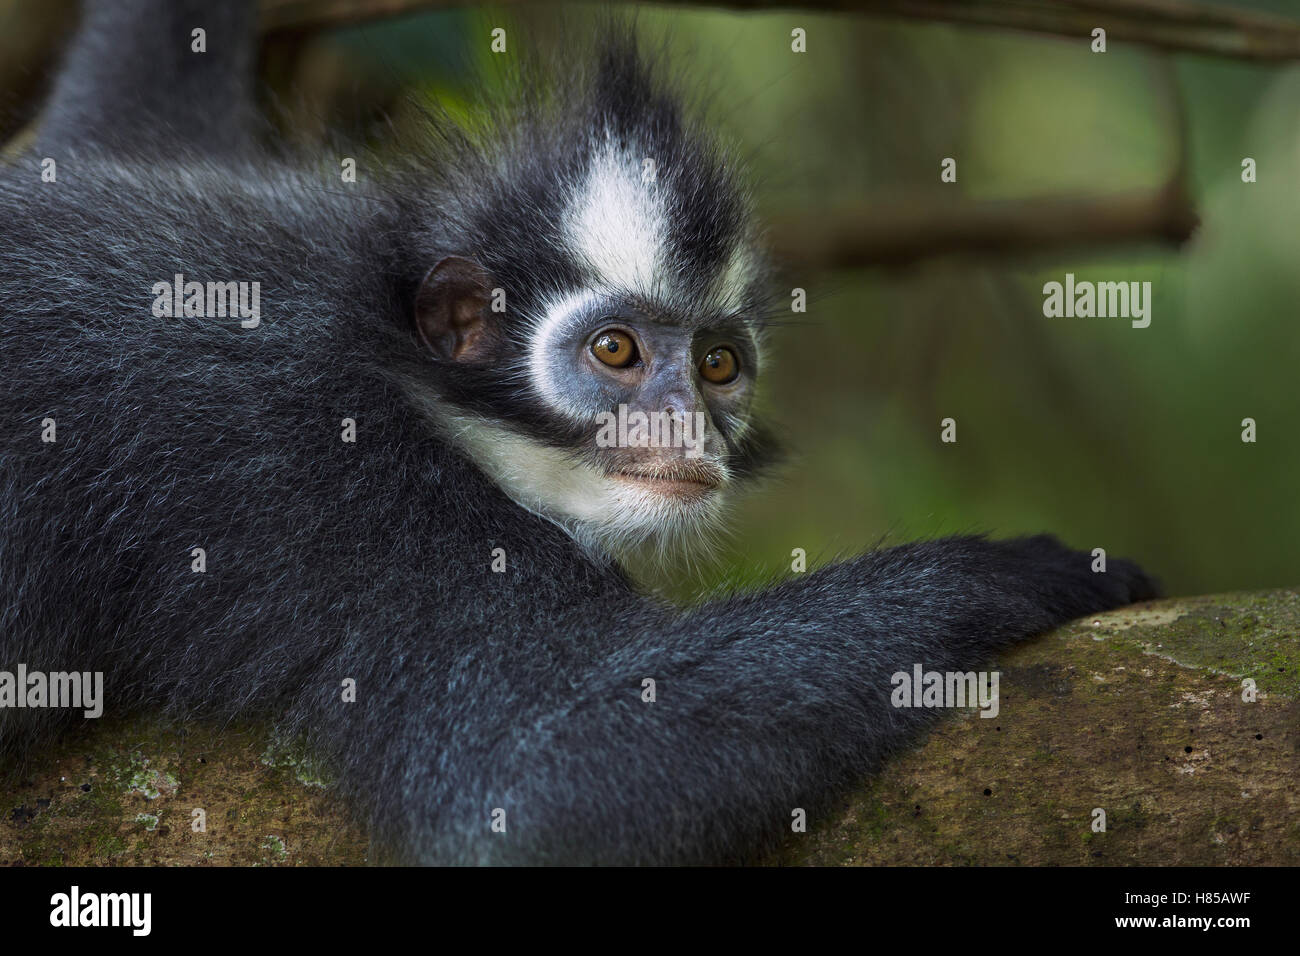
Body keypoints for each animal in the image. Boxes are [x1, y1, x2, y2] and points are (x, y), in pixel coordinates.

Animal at [0, 0, 1157, 865]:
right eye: (615, 352)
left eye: (717, 364)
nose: (688, 424)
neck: (395, 352)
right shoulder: (326, 473)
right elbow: (524, 780)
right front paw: (1015, 569)